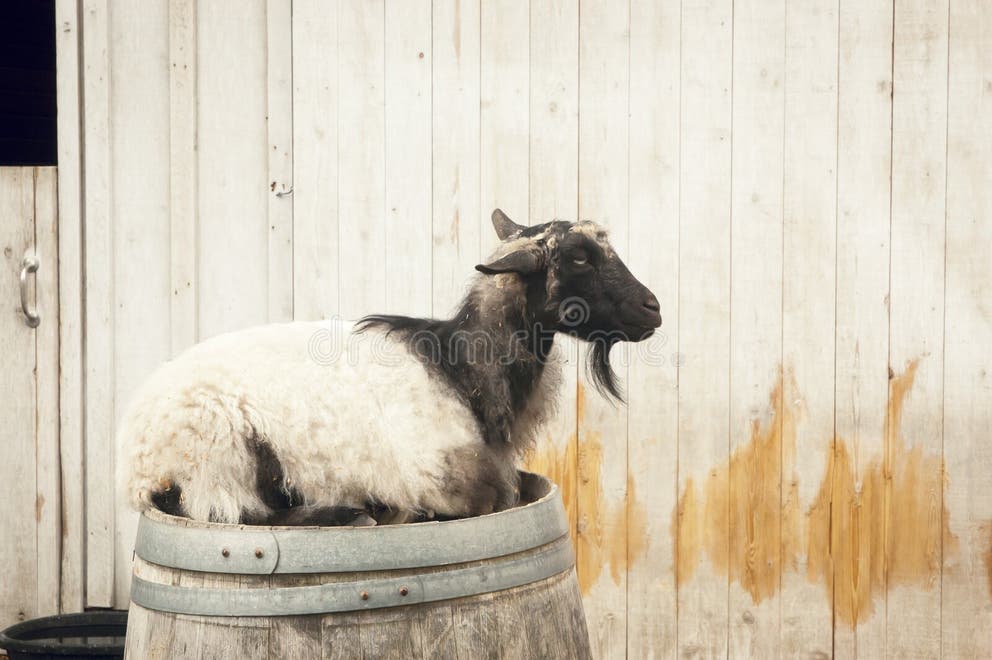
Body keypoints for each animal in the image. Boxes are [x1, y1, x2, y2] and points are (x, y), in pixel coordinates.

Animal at [119, 209, 662, 525]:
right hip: (219, 459)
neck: (457, 369)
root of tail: (135, 466)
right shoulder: (456, 489)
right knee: (240, 512)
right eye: (579, 257)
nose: (653, 308)